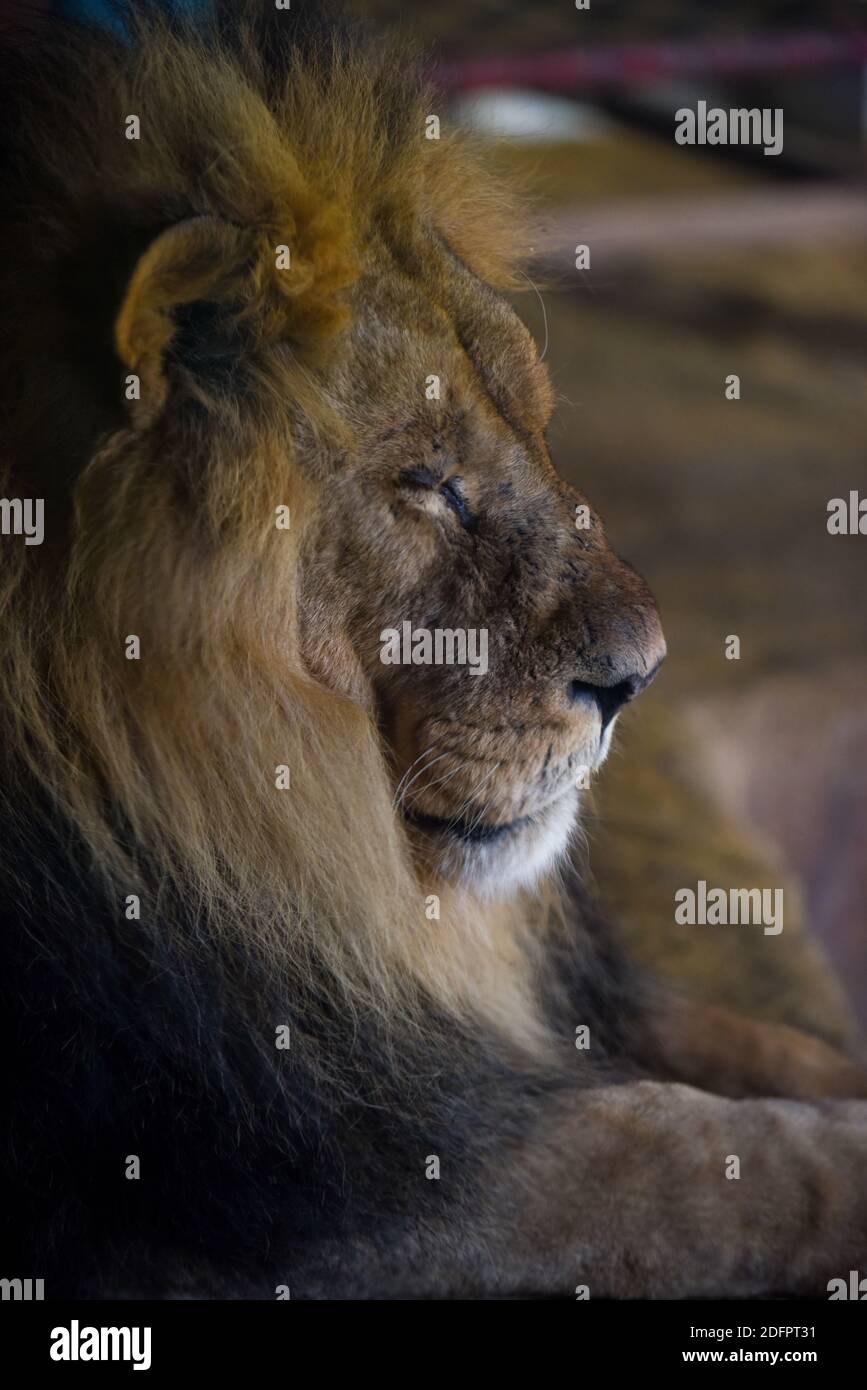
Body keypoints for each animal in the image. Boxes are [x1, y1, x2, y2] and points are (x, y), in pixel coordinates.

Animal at [1, 1, 866, 1300]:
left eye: (537, 426)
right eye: (429, 483)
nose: (642, 676)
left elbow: (741, 1041)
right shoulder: (302, 1185)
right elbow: (695, 1161)